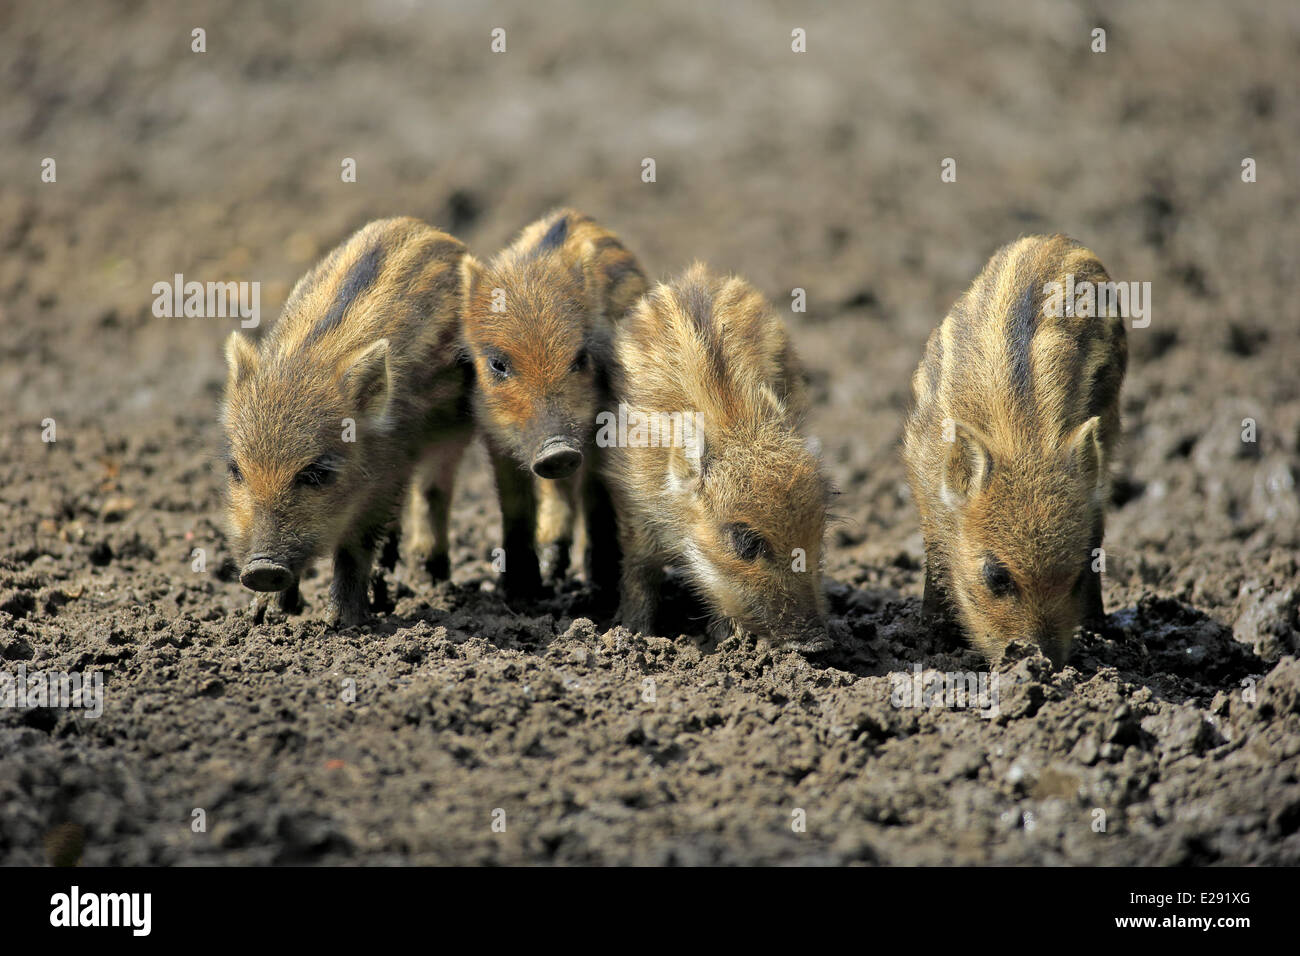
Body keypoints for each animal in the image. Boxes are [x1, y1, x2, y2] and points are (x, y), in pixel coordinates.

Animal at [221, 217, 471, 627]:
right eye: (236, 470)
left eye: (317, 473)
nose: (261, 568)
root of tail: (426, 227)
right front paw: (271, 616)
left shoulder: (386, 477)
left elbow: (356, 545)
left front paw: (341, 623)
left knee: (435, 492)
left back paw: (434, 578)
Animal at [459, 208, 647, 600]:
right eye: (497, 364)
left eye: (581, 358)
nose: (557, 451)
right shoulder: (494, 433)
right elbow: (514, 503)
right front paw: (520, 594)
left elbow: (596, 495)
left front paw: (602, 589)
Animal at [603, 263, 832, 650]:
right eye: (746, 542)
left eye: (820, 530)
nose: (819, 642)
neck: (730, 420)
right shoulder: (633, 504)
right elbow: (639, 568)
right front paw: (634, 633)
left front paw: (729, 642)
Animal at [902, 234, 1127, 667]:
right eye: (996, 576)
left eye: (1074, 576)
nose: (1045, 663)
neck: (1020, 438)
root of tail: (1055, 240)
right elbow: (935, 559)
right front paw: (930, 641)